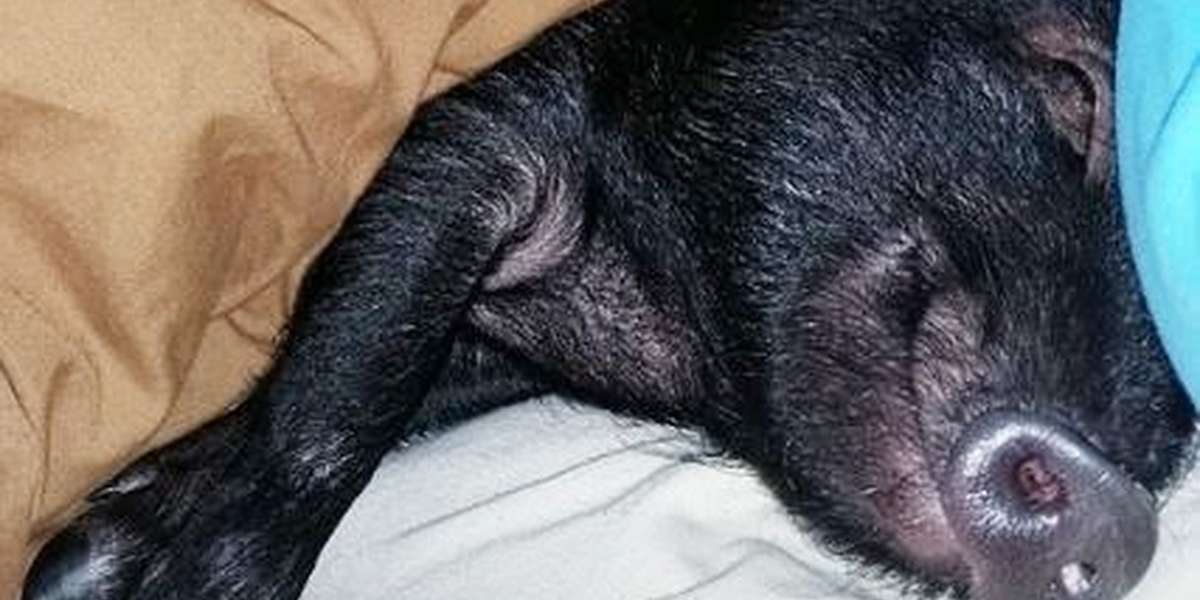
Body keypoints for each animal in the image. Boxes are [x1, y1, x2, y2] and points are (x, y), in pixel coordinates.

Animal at [22, 0, 1197, 599]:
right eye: (1078, 93)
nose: (1123, 512)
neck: (667, 301)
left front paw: (99, 544)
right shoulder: (494, 123)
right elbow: (354, 374)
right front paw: (103, 574)